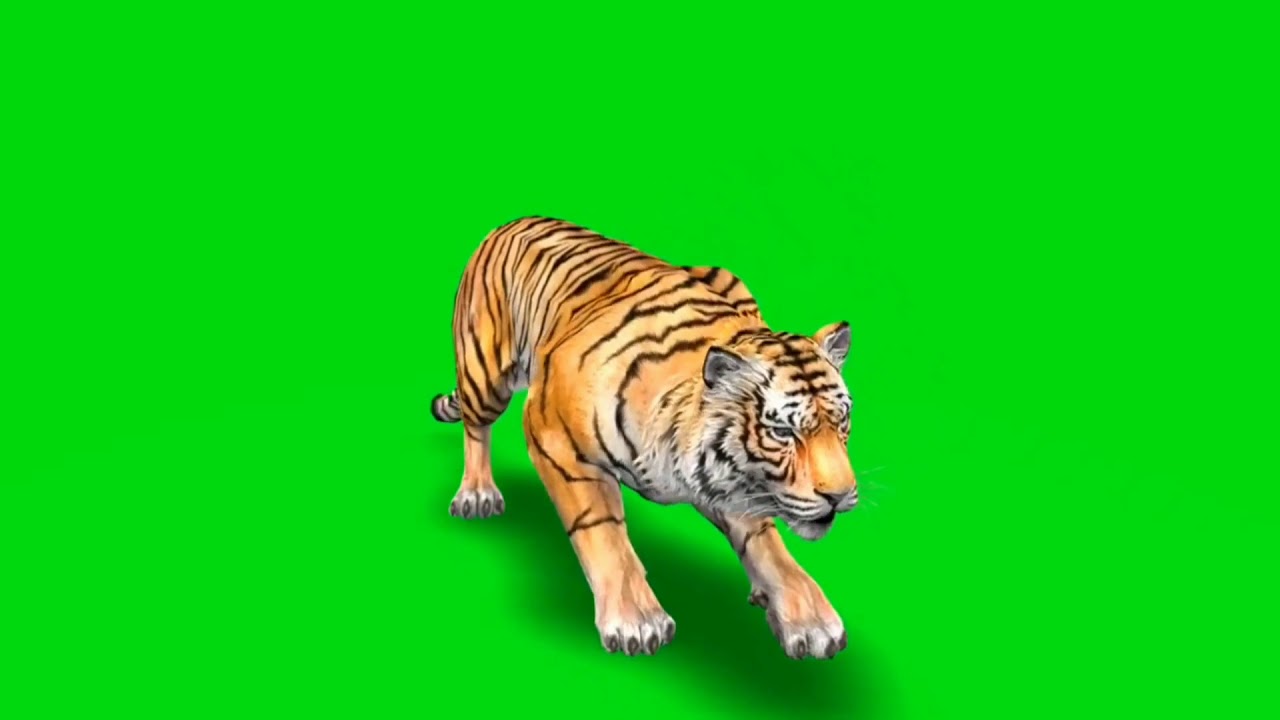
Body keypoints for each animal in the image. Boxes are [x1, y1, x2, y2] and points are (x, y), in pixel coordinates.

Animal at [430, 216, 859, 660]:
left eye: (843, 419)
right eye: (782, 432)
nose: (841, 495)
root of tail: (514, 221)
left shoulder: (727, 482)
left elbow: (763, 539)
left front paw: (808, 617)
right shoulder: (555, 439)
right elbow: (603, 531)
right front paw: (637, 620)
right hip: (484, 371)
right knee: (476, 428)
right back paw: (477, 494)